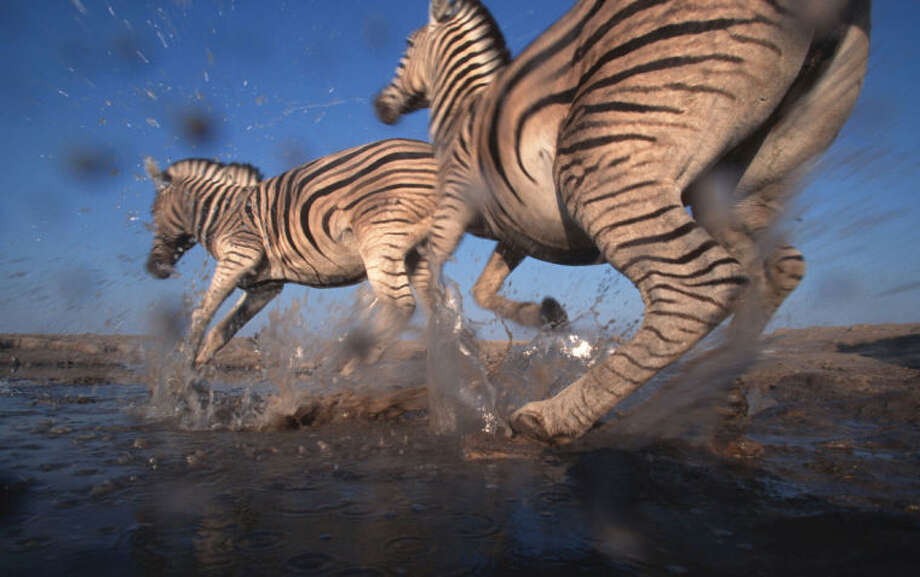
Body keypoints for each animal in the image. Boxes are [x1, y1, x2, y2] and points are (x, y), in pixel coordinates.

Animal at [145, 139, 443, 374]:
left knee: (402, 305)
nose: (153, 268)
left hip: (380, 238)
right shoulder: (264, 285)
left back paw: (352, 365)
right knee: (434, 308)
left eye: (153, 213)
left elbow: (202, 313)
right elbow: (224, 329)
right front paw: (196, 366)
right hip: (417, 252)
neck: (220, 212)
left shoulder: (239, 253)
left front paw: (180, 370)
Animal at [374, 0, 870, 443]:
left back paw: (556, 416)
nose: (380, 105)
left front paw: (448, 389)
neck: (463, 111)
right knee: (773, 269)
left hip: (603, 160)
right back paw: (713, 390)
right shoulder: (516, 232)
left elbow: (429, 271)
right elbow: (482, 287)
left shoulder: (457, 203)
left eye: (407, 44)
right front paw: (545, 315)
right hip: (743, 185)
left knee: (699, 286)